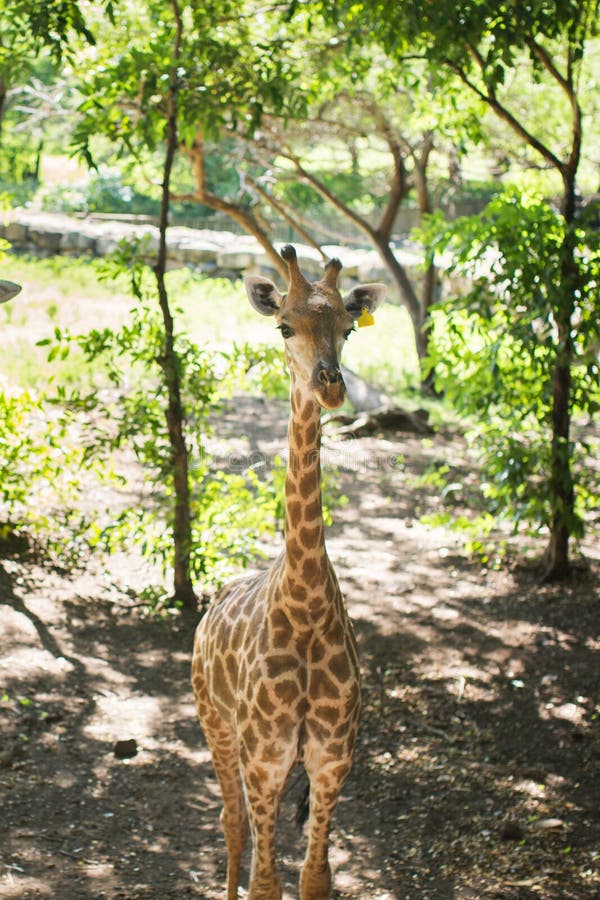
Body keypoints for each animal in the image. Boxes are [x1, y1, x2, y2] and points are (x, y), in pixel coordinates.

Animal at [191, 244, 386, 900]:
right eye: (283, 326)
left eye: (349, 328)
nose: (331, 387)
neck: (304, 603)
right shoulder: (265, 757)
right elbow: (266, 882)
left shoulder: (332, 760)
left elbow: (314, 877)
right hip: (215, 724)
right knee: (230, 826)